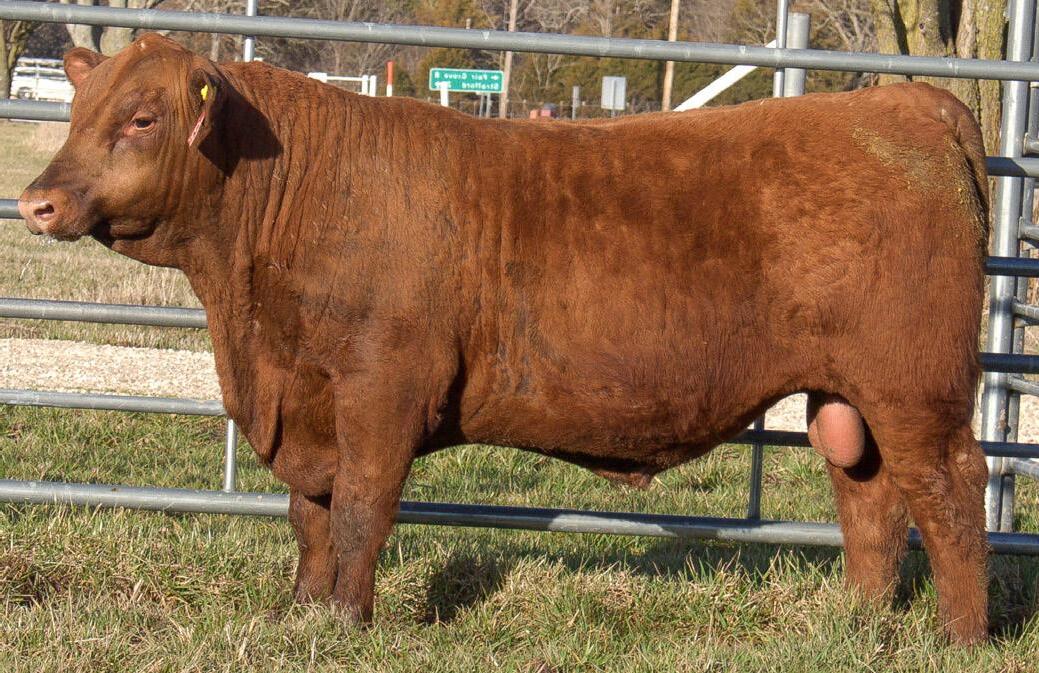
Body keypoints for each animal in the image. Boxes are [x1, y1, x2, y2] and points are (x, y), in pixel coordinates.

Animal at [18, 34, 991, 644]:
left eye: (142, 119)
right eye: (77, 111)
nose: (37, 201)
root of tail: (911, 100)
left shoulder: (380, 387)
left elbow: (362, 507)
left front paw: (346, 621)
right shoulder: (312, 395)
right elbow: (311, 514)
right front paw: (301, 611)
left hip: (917, 387)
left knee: (949, 493)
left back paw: (959, 638)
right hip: (849, 393)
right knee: (869, 499)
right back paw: (857, 625)